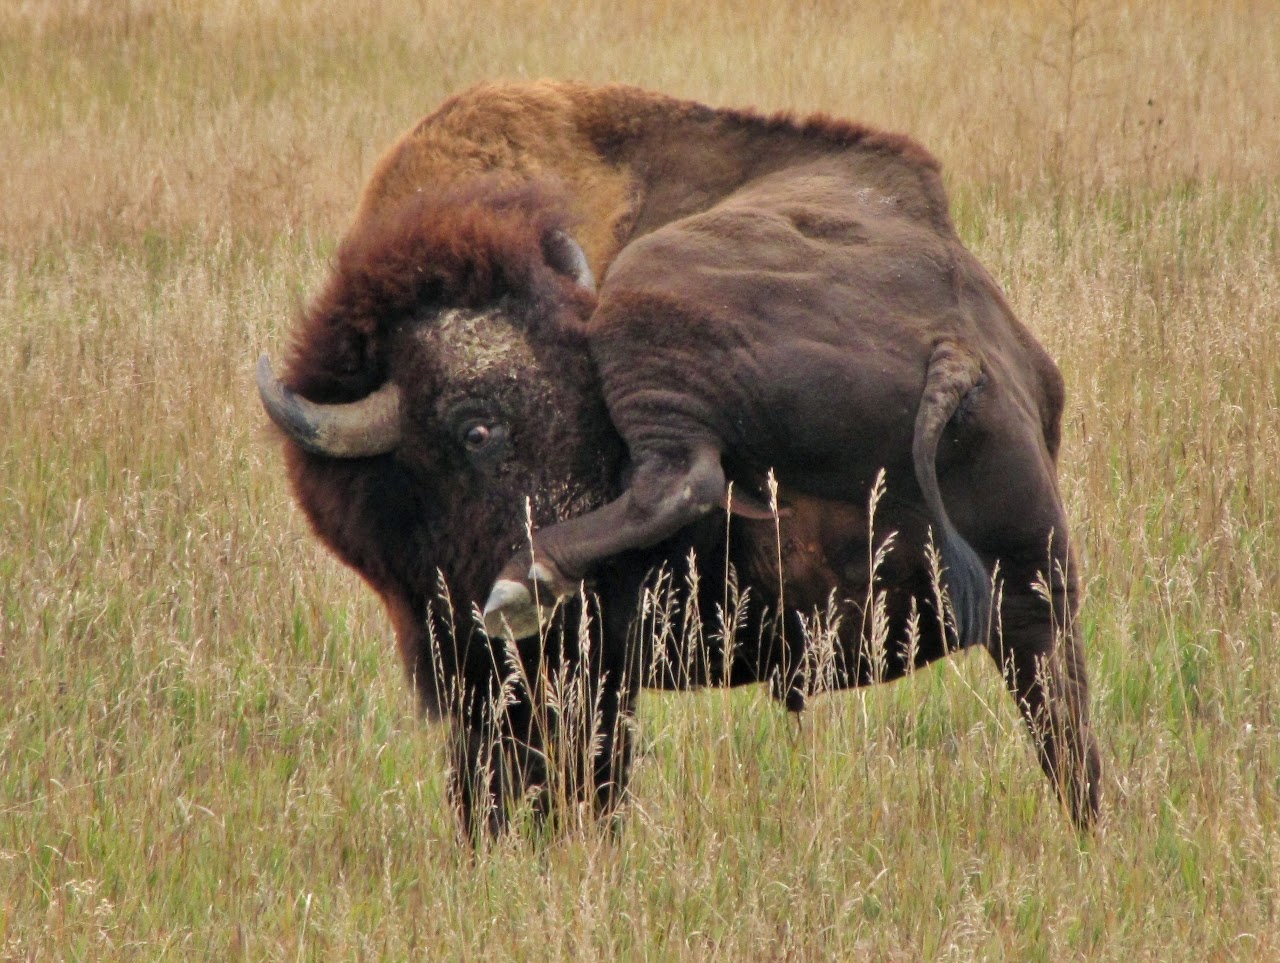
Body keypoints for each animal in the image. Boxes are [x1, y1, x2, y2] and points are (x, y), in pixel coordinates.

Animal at [258, 82, 1101, 835]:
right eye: (476, 430)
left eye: (585, 397)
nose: (584, 597)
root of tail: (954, 338)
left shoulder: (570, 675)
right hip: (1035, 603)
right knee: (1072, 748)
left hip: (650, 290)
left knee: (685, 477)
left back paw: (528, 578)